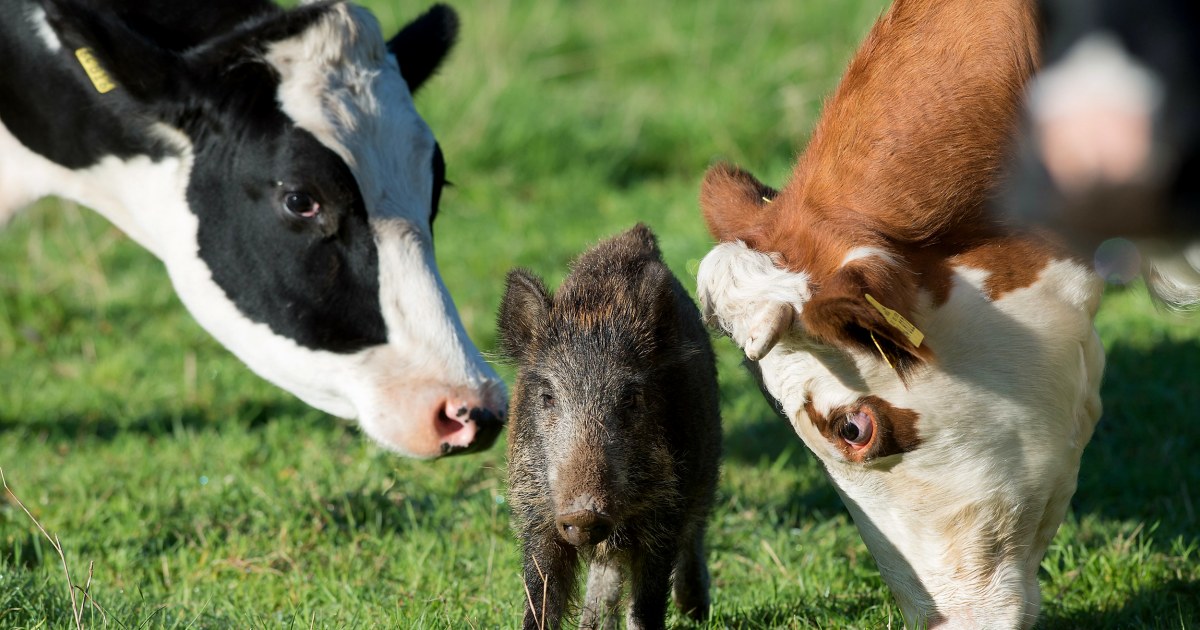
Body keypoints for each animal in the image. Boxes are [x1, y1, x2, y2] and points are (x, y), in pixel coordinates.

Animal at [497, 224, 722, 630]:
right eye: (547, 396)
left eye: (631, 397)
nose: (583, 513)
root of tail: (635, 233)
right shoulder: (536, 513)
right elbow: (540, 599)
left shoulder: (663, 513)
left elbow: (645, 607)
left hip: (705, 472)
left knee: (693, 534)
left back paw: (695, 611)